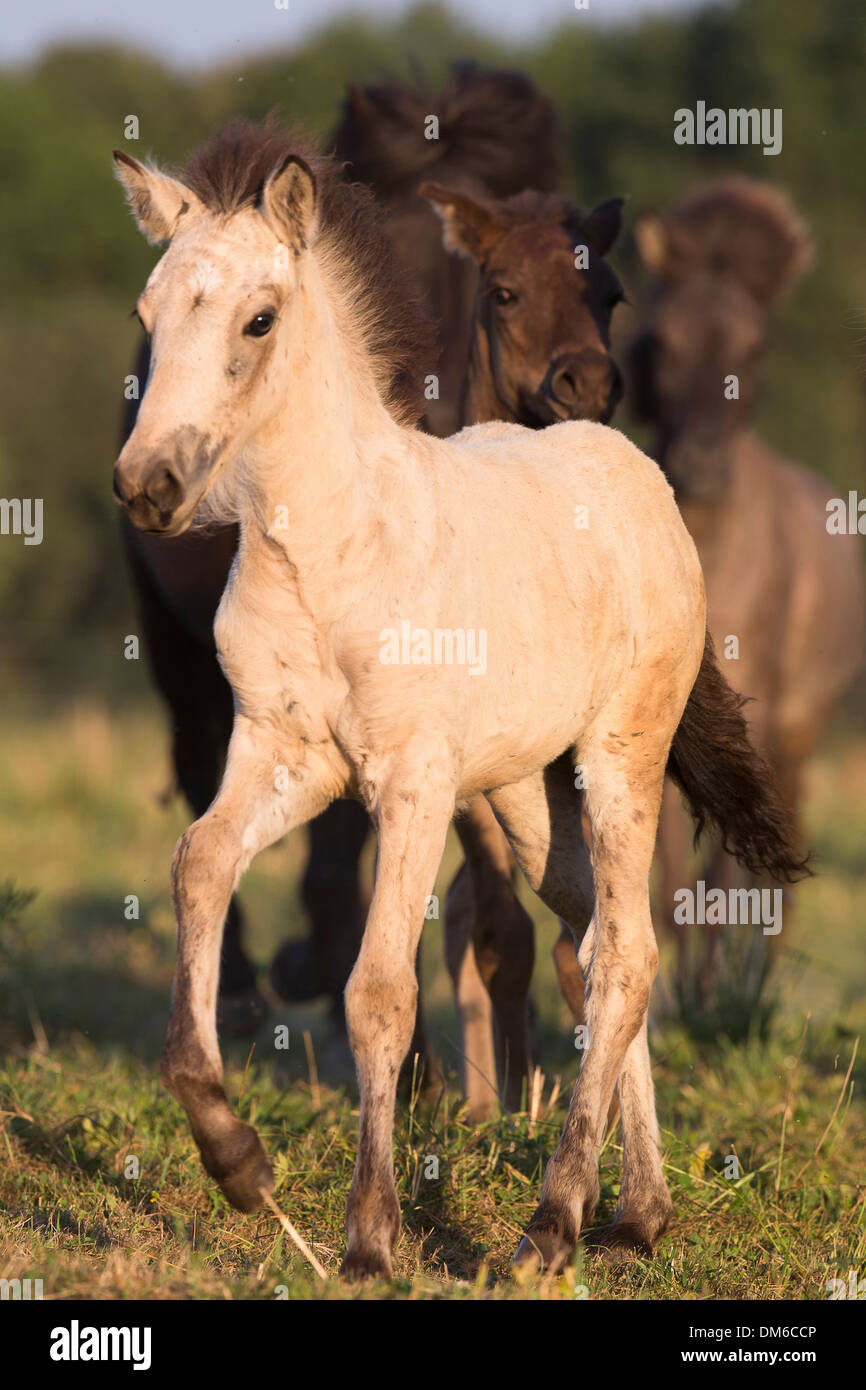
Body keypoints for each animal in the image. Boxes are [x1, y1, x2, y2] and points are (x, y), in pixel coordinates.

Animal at [111, 122, 805, 1276]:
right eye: (147, 315)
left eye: (259, 319)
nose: (148, 485)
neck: (328, 551)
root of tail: (636, 472)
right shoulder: (281, 753)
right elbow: (198, 864)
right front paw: (236, 1158)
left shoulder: (413, 782)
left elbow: (379, 990)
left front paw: (368, 1238)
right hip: (528, 792)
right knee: (593, 941)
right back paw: (638, 1210)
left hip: (619, 758)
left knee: (625, 955)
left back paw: (554, 1224)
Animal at [631, 179, 864, 1006]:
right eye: (659, 340)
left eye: (756, 347)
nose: (700, 464)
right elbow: (670, 871)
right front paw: (676, 998)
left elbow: (729, 869)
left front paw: (717, 992)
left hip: (801, 727)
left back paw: (752, 977)